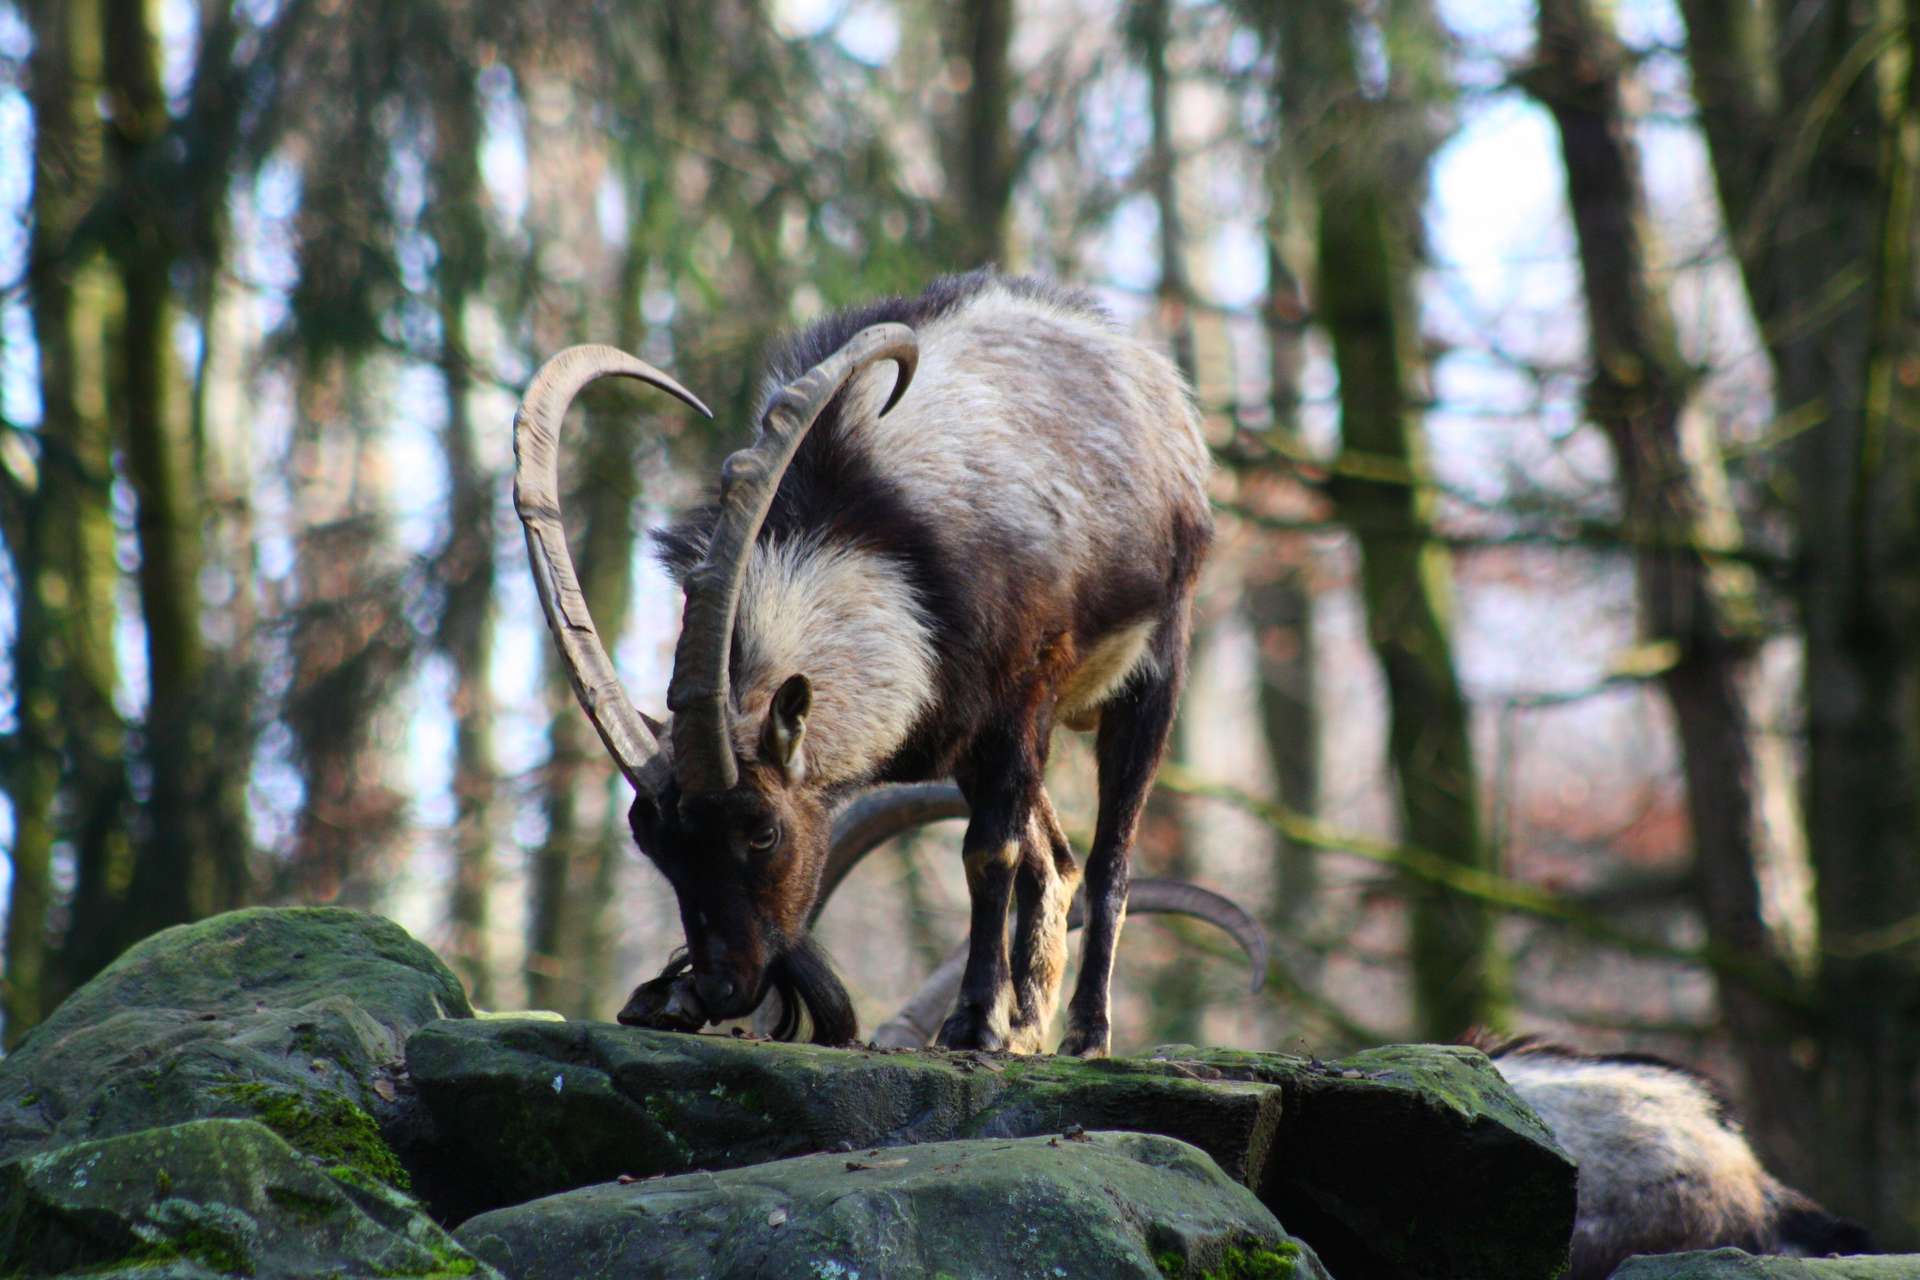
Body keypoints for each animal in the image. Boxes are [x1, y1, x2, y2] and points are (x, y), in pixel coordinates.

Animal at [515, 271, 1212, 1056]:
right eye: (654, 841)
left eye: (762, 830)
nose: (724, 986)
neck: (886, 542)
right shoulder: (972, 735)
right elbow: (1015, 851)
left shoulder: (1020, 694)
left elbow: (988, 853)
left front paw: (973, 1023)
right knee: (1055, 861)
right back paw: (1030, 1027)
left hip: (1153, 665)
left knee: (1104, 860)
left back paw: (1085, 1034)